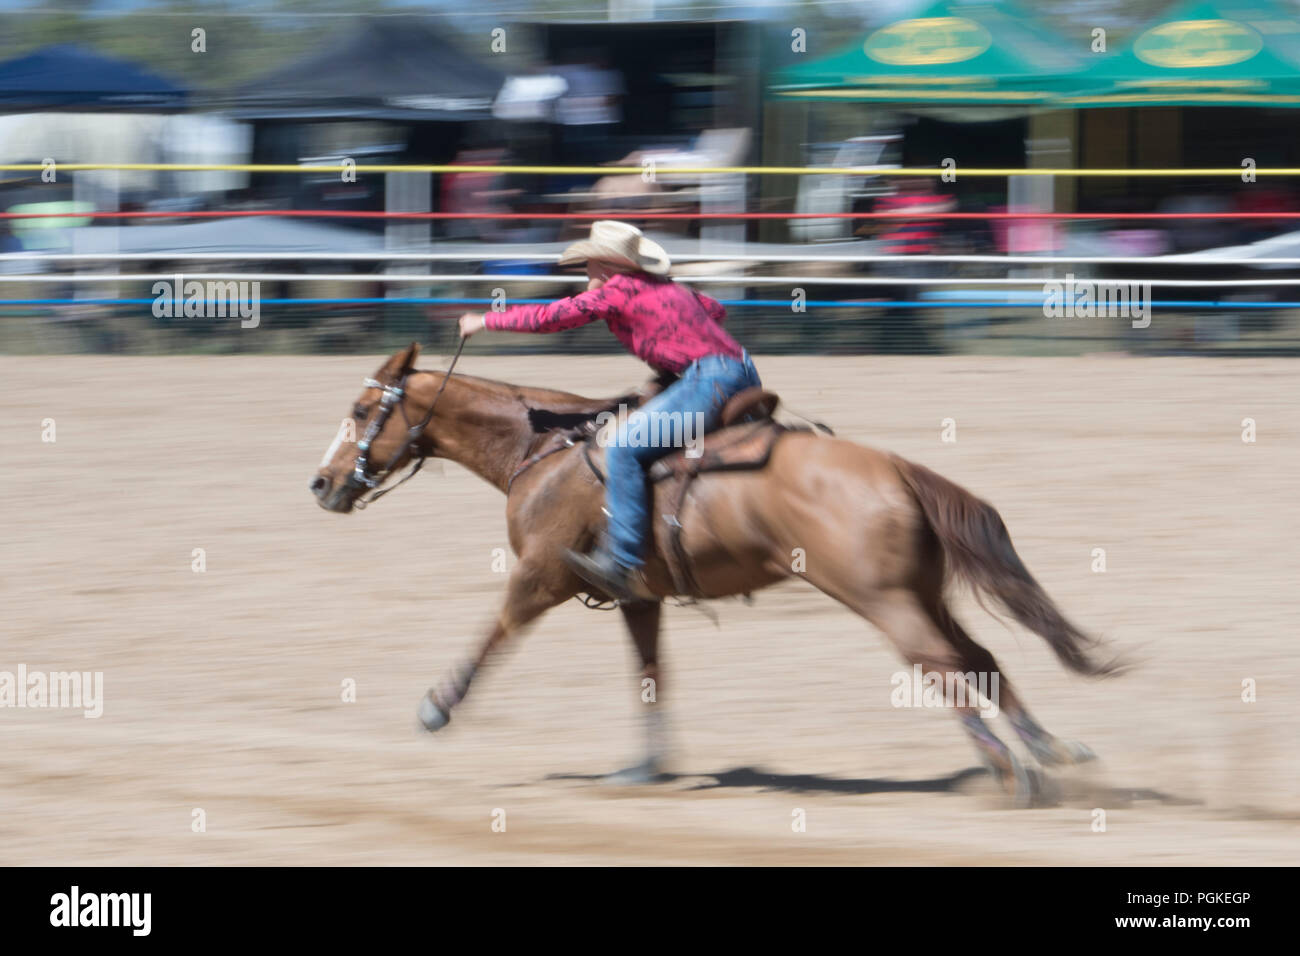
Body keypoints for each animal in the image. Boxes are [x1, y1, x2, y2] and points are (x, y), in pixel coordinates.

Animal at [312, 343, 1118, 806]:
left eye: (361, 406)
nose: (321, 485)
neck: (542, 454)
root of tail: (895, 468)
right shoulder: (635, 597)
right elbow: (650, 673)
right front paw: (644, 767)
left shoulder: (541, 574)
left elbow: (495, 631)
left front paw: (437, 706)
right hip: (921, 590)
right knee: (981, 658)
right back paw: (1051, 753)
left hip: (884, 599)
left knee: (943, 666)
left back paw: (1012, 774)